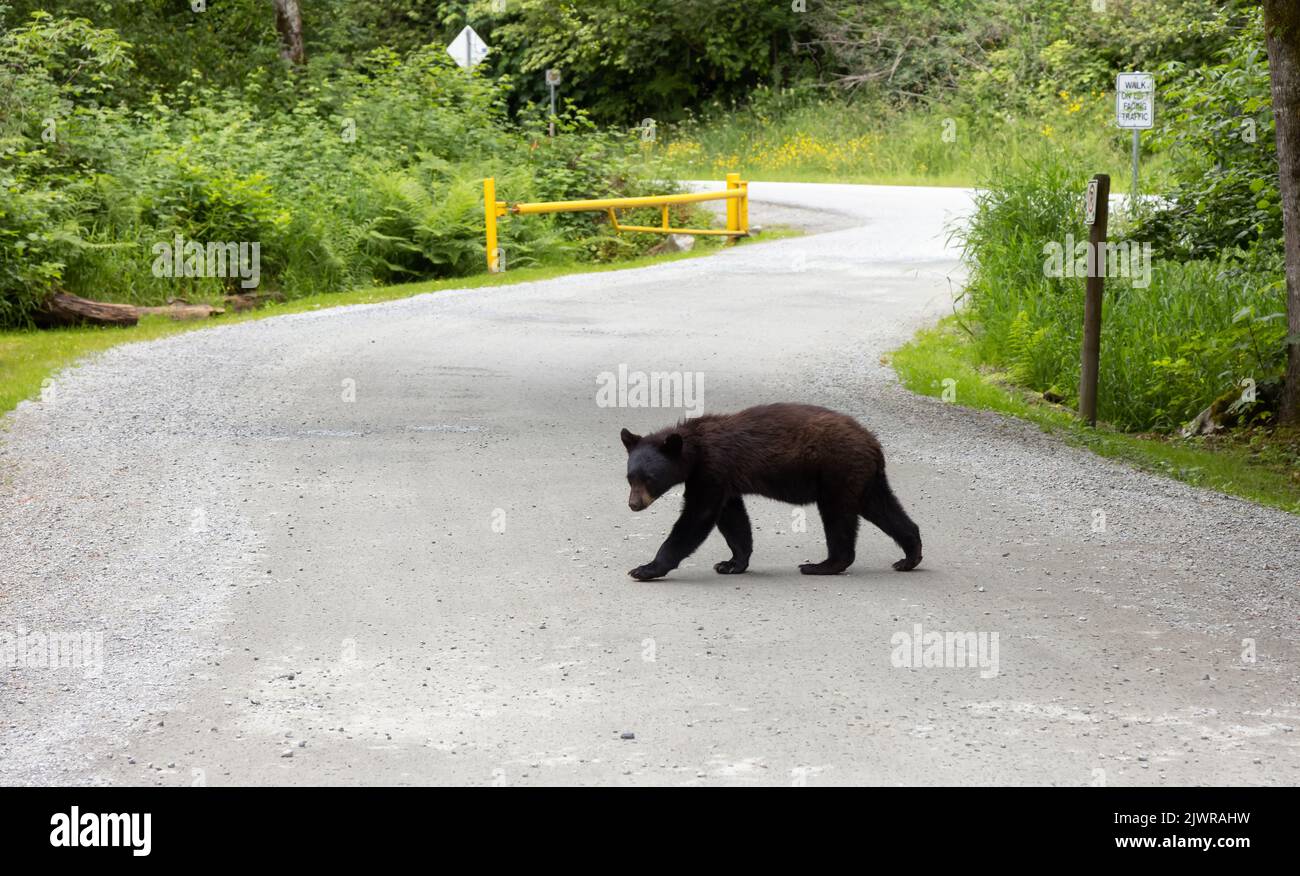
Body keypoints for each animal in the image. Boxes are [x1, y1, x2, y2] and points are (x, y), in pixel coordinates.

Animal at [620, 402, 922, 580]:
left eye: (649, 478)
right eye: (630, 477)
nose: (633, 504)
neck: (695, 449)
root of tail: (873, 444)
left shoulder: (712, 471)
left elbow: (697, 517)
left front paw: (645, 568)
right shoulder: (724, 481)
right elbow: (733, 520)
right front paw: (732, 563)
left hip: (838, 473)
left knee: (838, 517)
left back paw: (821, 565)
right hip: (866, 479)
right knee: (884, 508)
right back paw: (909, 556)